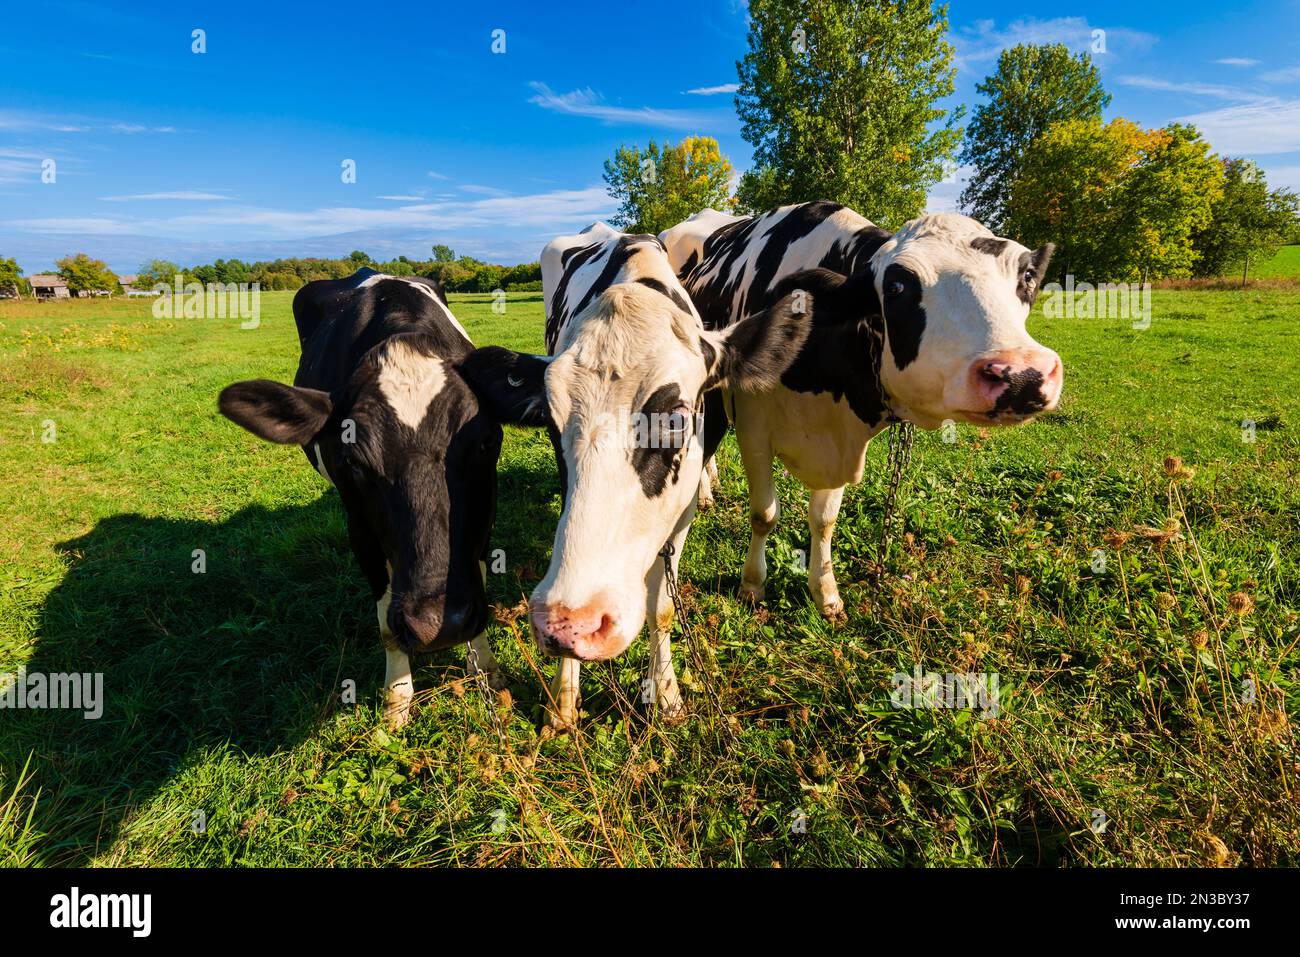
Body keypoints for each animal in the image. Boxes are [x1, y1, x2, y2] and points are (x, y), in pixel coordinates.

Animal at [217, 268, 548, 729]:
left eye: (486, 442)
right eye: (353, 461)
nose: (439, 624)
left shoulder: (485, 517)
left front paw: (486, 673)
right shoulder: (360, 530)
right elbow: (386, 623)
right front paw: (397, 701)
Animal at [520, 222, 813, 729]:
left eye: (674, 420)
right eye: (551, 425)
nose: (573, 623)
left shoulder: (680, 511)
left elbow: (663, 607)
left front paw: (667, 693)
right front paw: (562, 698)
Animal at [660, 202, 1062, 619]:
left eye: (1027, 277)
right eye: (896, 287)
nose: (1022, 375)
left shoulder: (841, 432)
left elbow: (824, 520)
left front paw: (826, 594)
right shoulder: (754, 426)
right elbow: (764, 514)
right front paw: (752, 585)